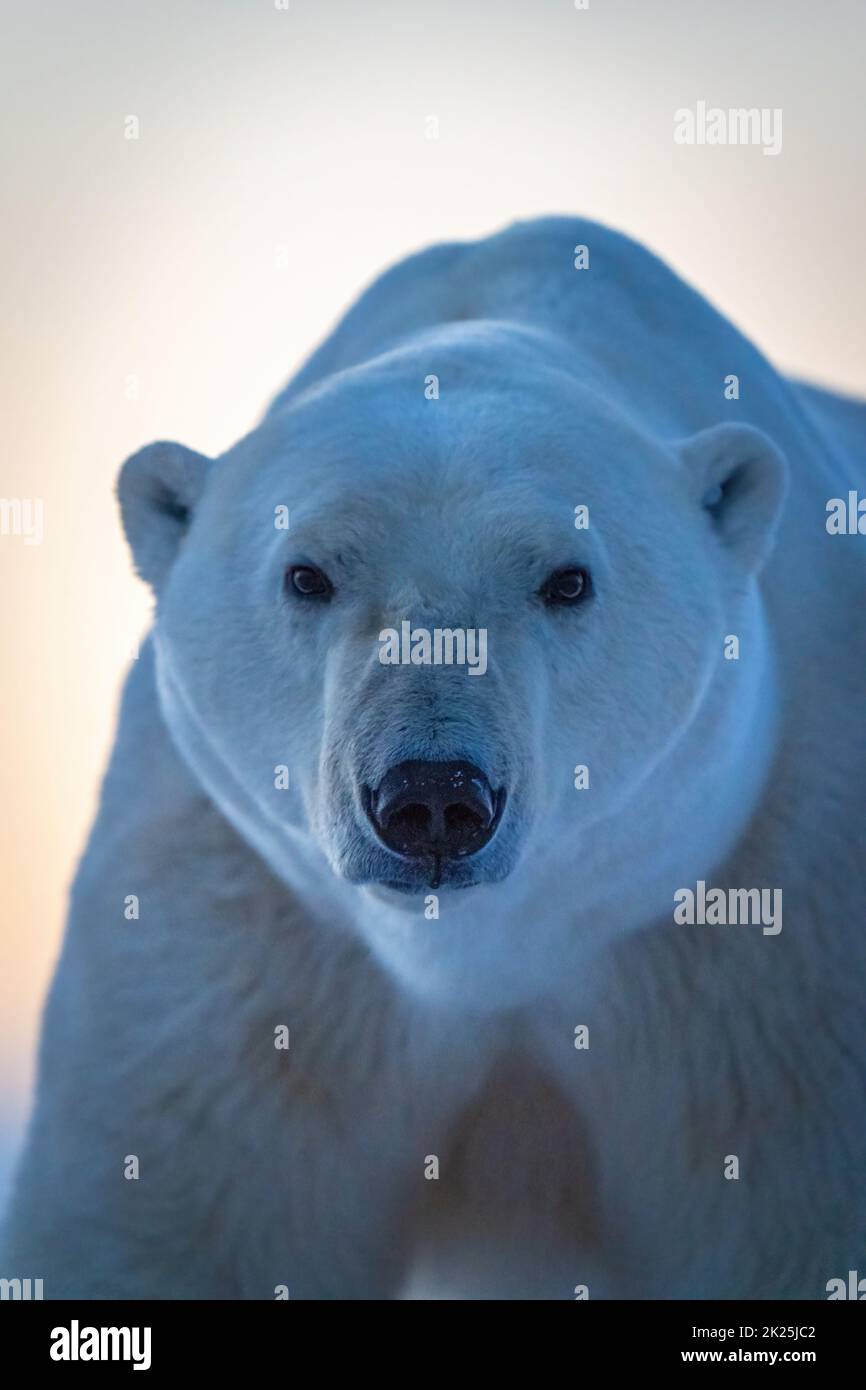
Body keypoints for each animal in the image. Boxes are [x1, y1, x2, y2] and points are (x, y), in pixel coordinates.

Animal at [2, 216, 865, 1299]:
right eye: (306, 573)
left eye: (567, 579)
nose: (433, 797)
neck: (482, 963)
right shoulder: (239, 956)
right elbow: (180, 1217)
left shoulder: (770, 944)